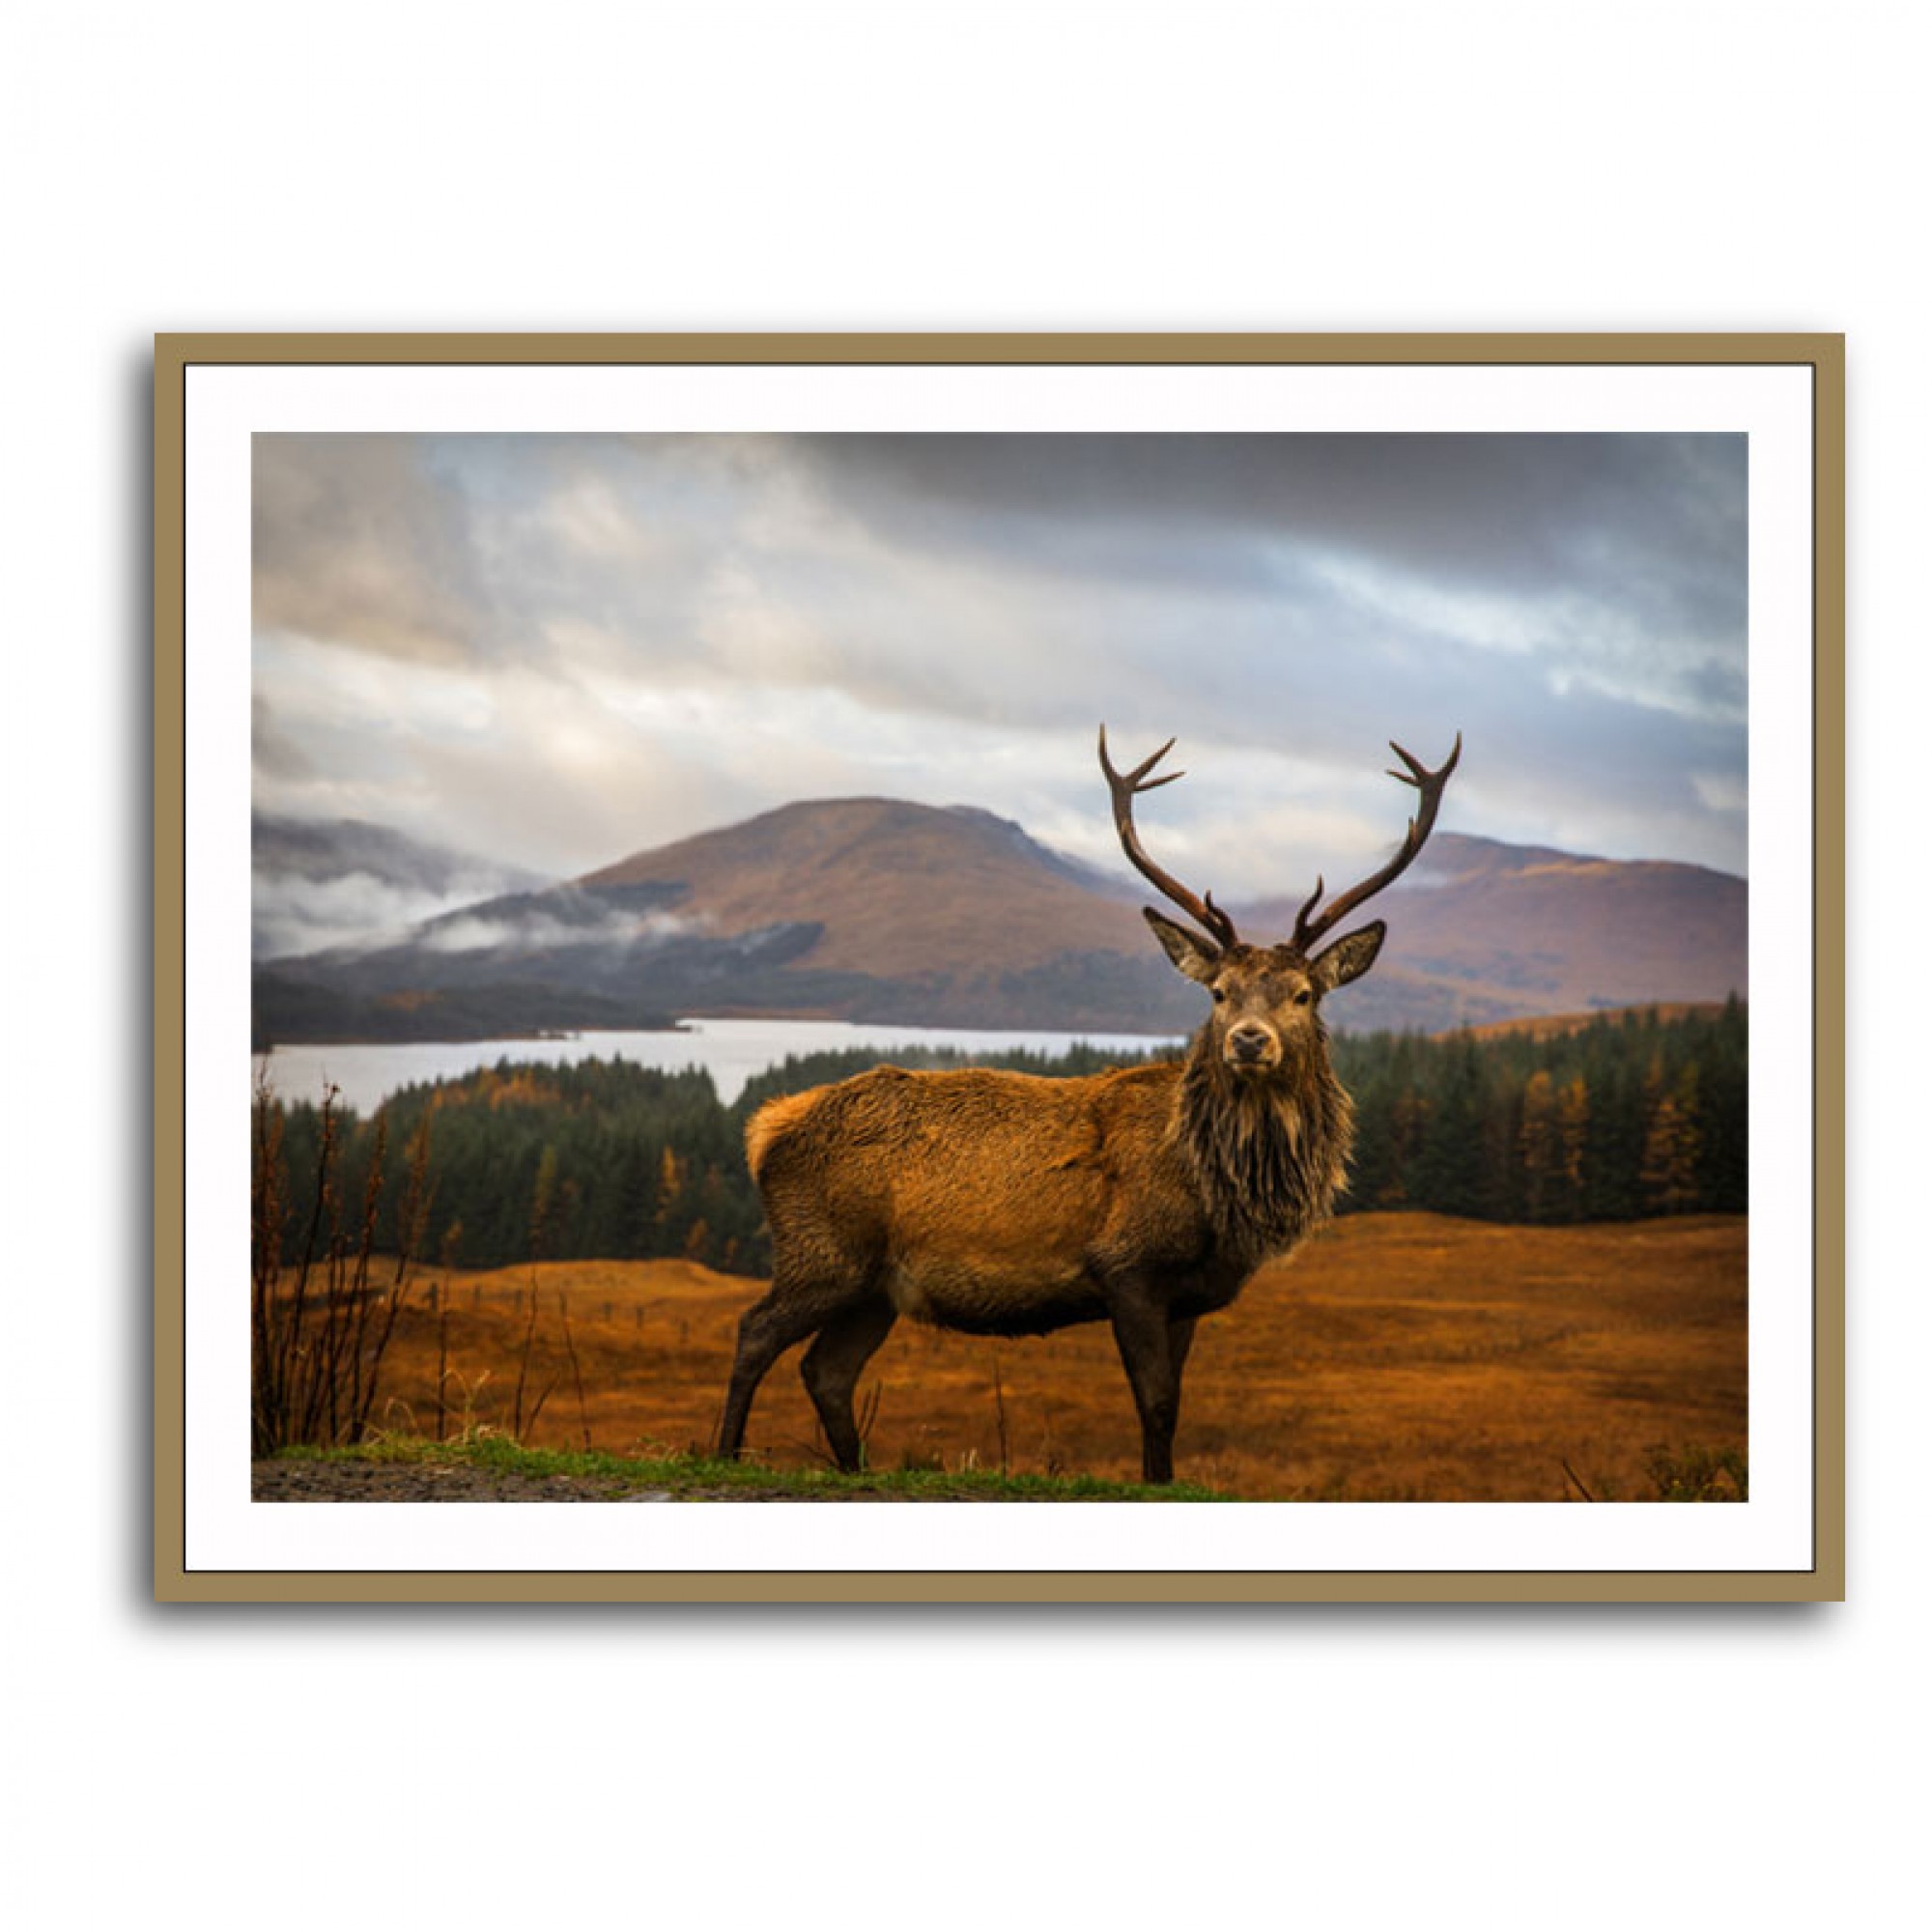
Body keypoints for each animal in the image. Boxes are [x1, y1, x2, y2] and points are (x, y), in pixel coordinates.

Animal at [715, 724, 1461, 1484]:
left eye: (1304, 994)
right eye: (1219, 992)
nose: (1249, 1040)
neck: (1219, 1197)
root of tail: (765, 1127)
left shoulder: (1188, 1295)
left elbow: (1174, 1406)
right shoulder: (1125, 1265)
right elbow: (1155, 1403)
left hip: (874, 1287)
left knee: (827, 1371)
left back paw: (855, 1470)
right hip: (822, 1250)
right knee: (754, 1332)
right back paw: (723, 1452)